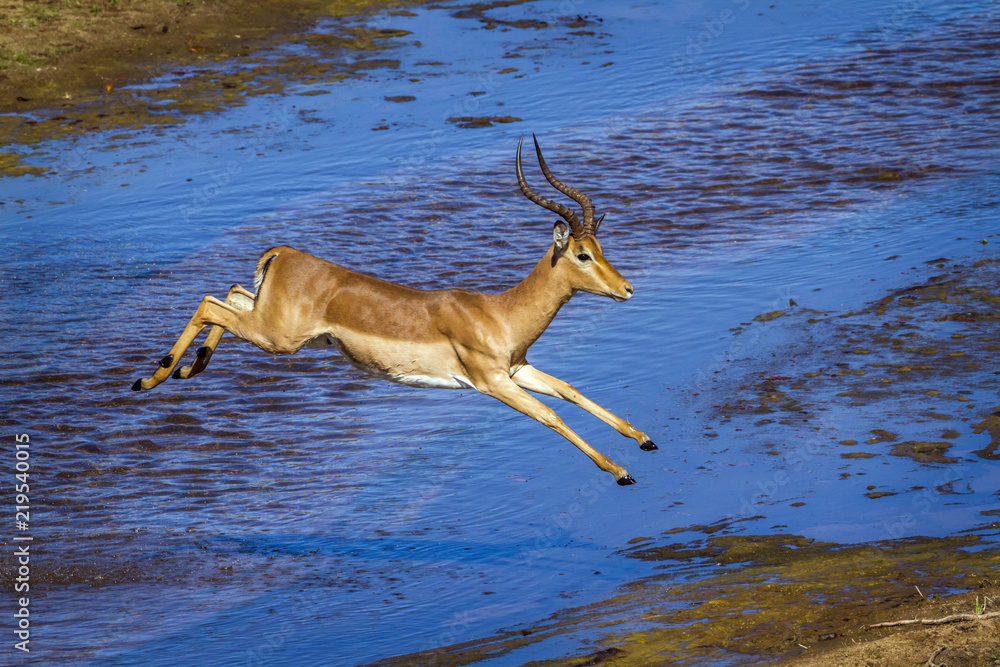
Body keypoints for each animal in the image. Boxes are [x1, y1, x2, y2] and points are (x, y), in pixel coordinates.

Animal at [133, 135, 657, 485]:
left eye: (601, 247)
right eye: (582, 255)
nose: (627, 289)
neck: (499, 312)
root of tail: (284, 253)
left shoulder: (519, 368)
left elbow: (569, 391)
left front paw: (645, 440)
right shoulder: (492, 383)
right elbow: (551, 416)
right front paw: (620, 471)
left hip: (270, 325)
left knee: (227, 294)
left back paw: (186, 369)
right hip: (278, 338)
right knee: (209, 304)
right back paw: (152, 377)